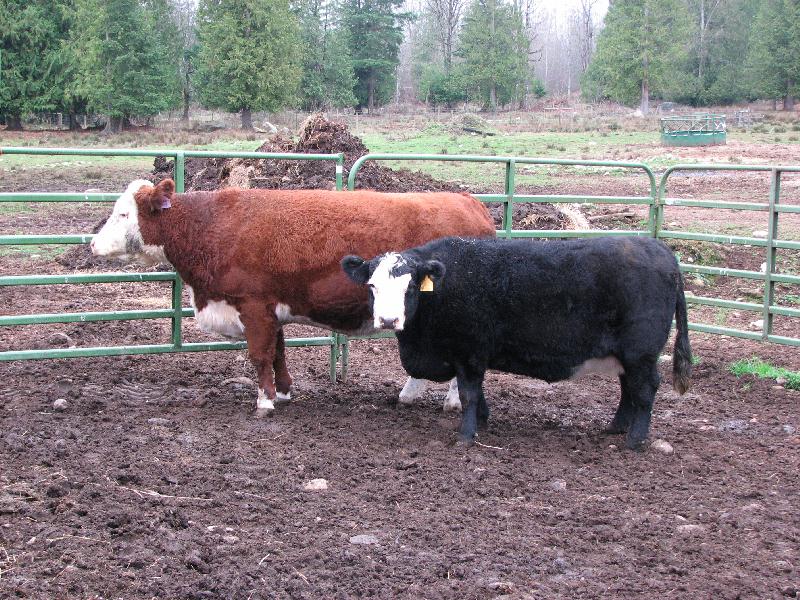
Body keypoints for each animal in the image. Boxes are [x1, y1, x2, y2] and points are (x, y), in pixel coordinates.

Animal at [90, 179, 495, 416]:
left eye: (123, 213)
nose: (92, 244)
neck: (212, 226)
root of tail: (468, 201)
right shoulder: (271, 309)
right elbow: (278, 351)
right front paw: (283, 392)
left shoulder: (252, 305)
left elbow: (259, 354)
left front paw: (265, 401)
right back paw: (412, 394)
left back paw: (453, 400)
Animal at [341, 236, 693, 450]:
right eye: (372, 286)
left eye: (411, 286)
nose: (388, 321)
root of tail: (661, 250)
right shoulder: (471, 356)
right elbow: (478, 393)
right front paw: (483, 420)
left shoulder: (469, 353)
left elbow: (469, 393)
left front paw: (466, 436)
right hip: (624, 354)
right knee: (627, 389)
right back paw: (616, 427)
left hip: (640, 353)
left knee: (645, 390)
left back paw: (634, 440)